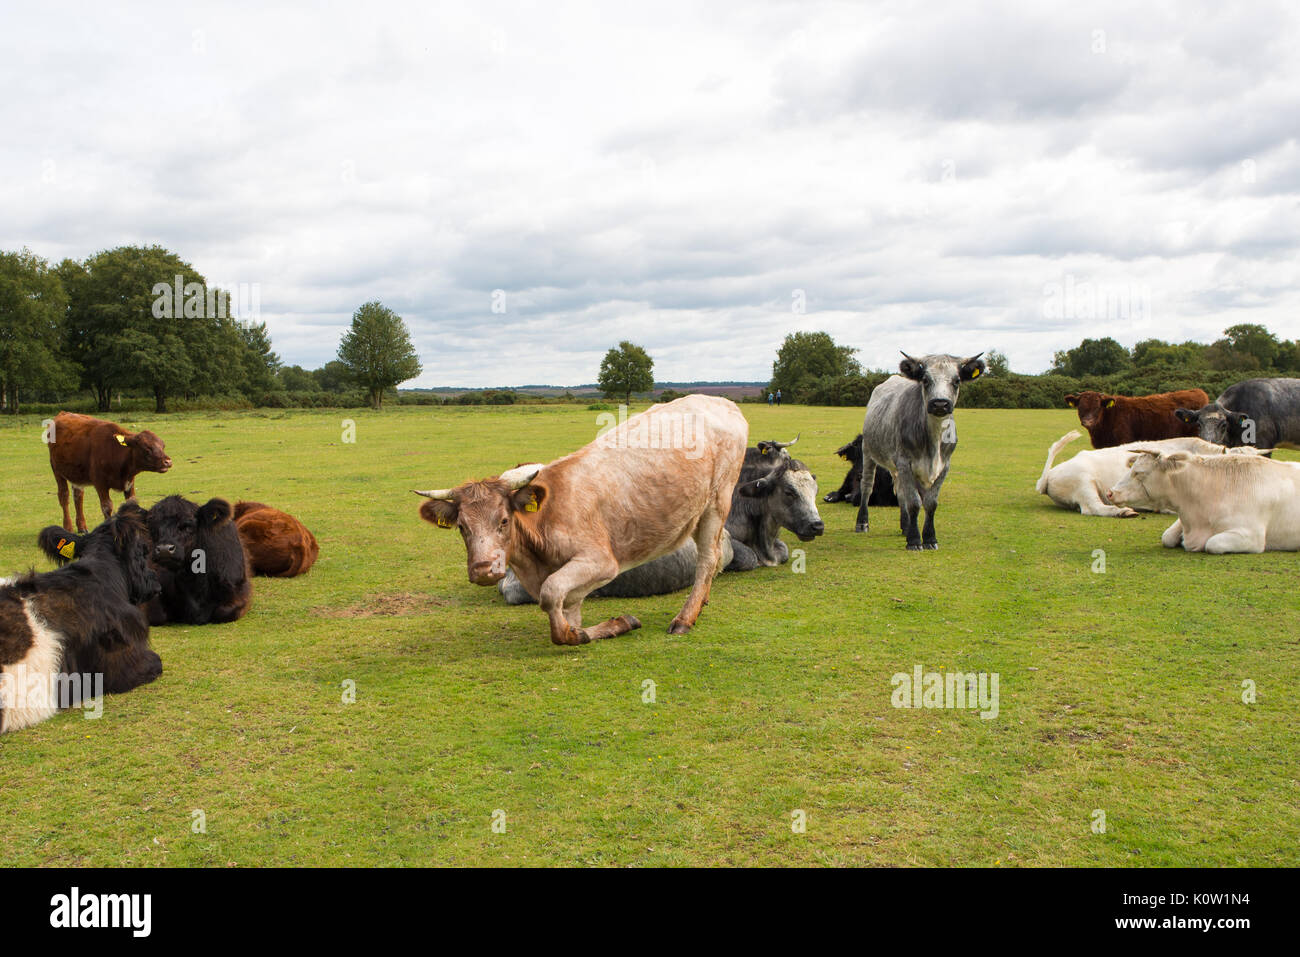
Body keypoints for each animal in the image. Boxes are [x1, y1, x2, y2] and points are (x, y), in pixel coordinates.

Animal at [415, 394, 747, 644]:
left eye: (504, 520)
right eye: (462, 527)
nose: (484, 569)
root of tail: (721, 402)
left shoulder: (600, 561)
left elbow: (551, 598)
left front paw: (581, 634)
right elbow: (566, 607)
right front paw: (607, 626)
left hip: (717, 501)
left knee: (708, 559)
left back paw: (685, 618)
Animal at [855, 352, 987, 549]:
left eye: (956, 381)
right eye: (925, 380)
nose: (940, 404)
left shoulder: (944, 466)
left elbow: (930, 502)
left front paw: (930, 538)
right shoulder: (905, 462)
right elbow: (915, 502)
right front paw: (915, 540)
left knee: (901, 492)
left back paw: (905, 526)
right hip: (869, 452)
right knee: (867, 486)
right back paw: (862, 522)